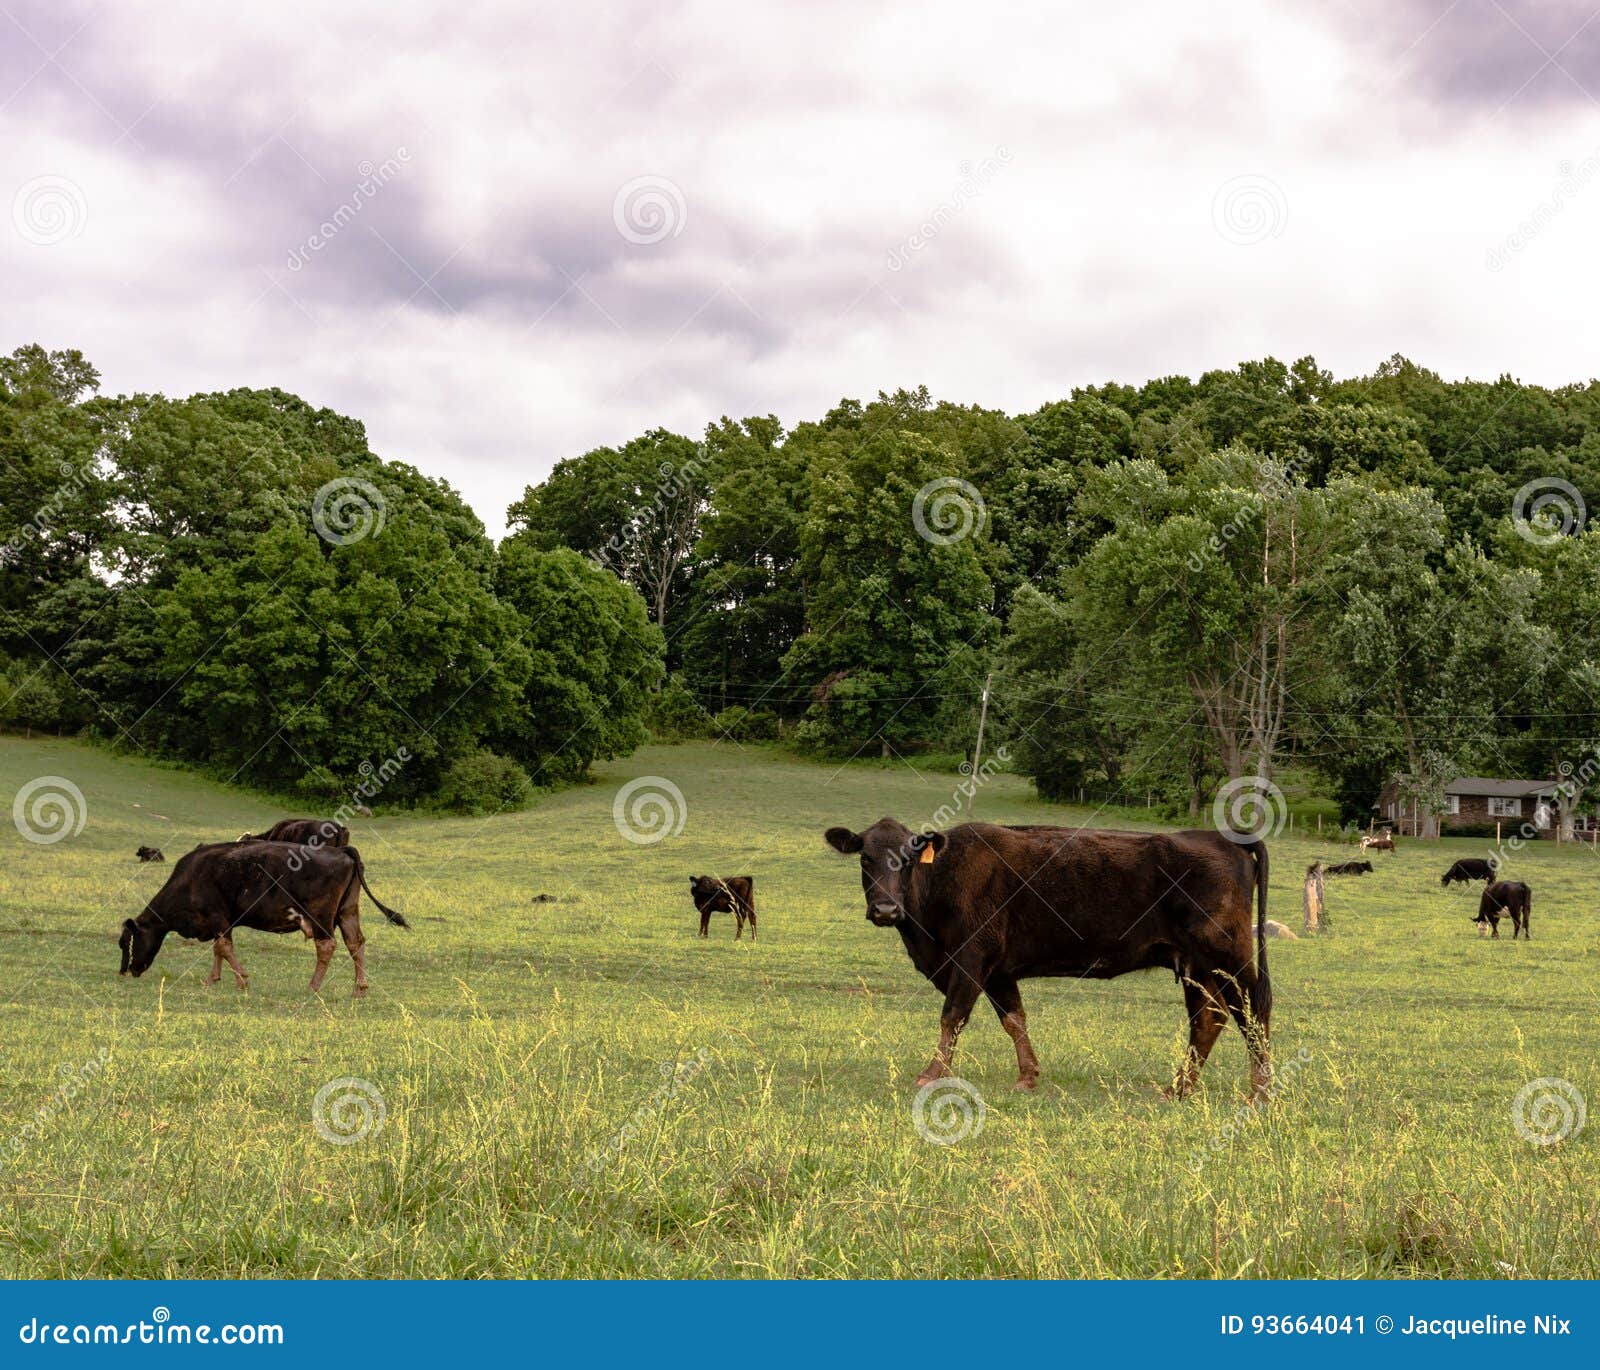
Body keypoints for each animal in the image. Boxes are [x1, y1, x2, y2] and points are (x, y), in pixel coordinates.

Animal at [118, 841, 408, 995]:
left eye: (125, 943)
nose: (127, 971)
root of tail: (342, 851)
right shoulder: (220, 922)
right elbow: (218, 948)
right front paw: (213, 978)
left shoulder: (217, 916)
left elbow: (223, 947)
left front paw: (242, 979)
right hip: (348, 910)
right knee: (355, 943)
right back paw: (360, 988)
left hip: (321, 915)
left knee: (327, 945)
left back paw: (313, 986)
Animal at [824, 819, 1270, 1099]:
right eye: (865, 858)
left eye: (909, 859)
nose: (885, 909)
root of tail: (1222, 838)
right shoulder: (998, 971)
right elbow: (1014, 1020)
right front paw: (1028, 1076)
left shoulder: (970, 959)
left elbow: (952, 1017)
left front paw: (931, 1074)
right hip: (1197, 965)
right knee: (1209, 1020)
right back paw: (1178, 1089)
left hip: (1231, 958)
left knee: (1253, 1013)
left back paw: (1260, 1091)